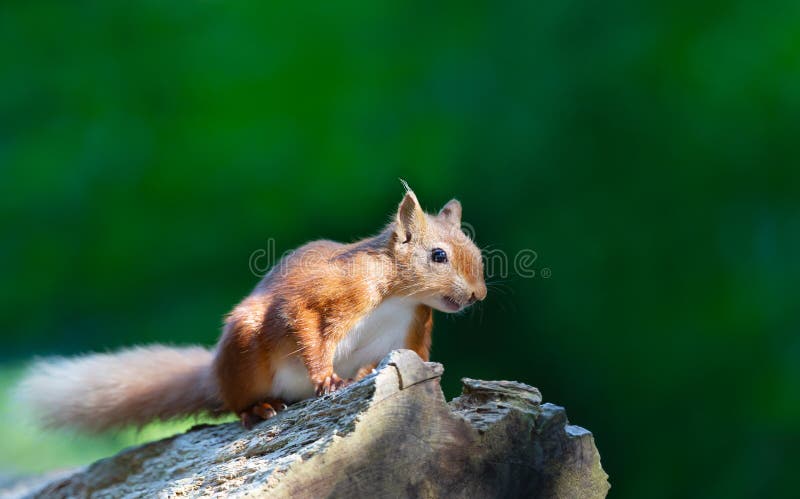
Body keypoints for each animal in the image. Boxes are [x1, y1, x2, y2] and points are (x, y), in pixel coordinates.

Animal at [15, 184, 487, 430]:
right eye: (439, 256)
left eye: (478, 253)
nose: (479, 295)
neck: (399, 296)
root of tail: (215, 376)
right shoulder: (334, 291)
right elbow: (303, 322)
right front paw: (326, 378)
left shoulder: (412, 327)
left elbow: (412, 357)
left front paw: (363, 375)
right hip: (245, 355)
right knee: (239, 401)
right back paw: (258, 408)